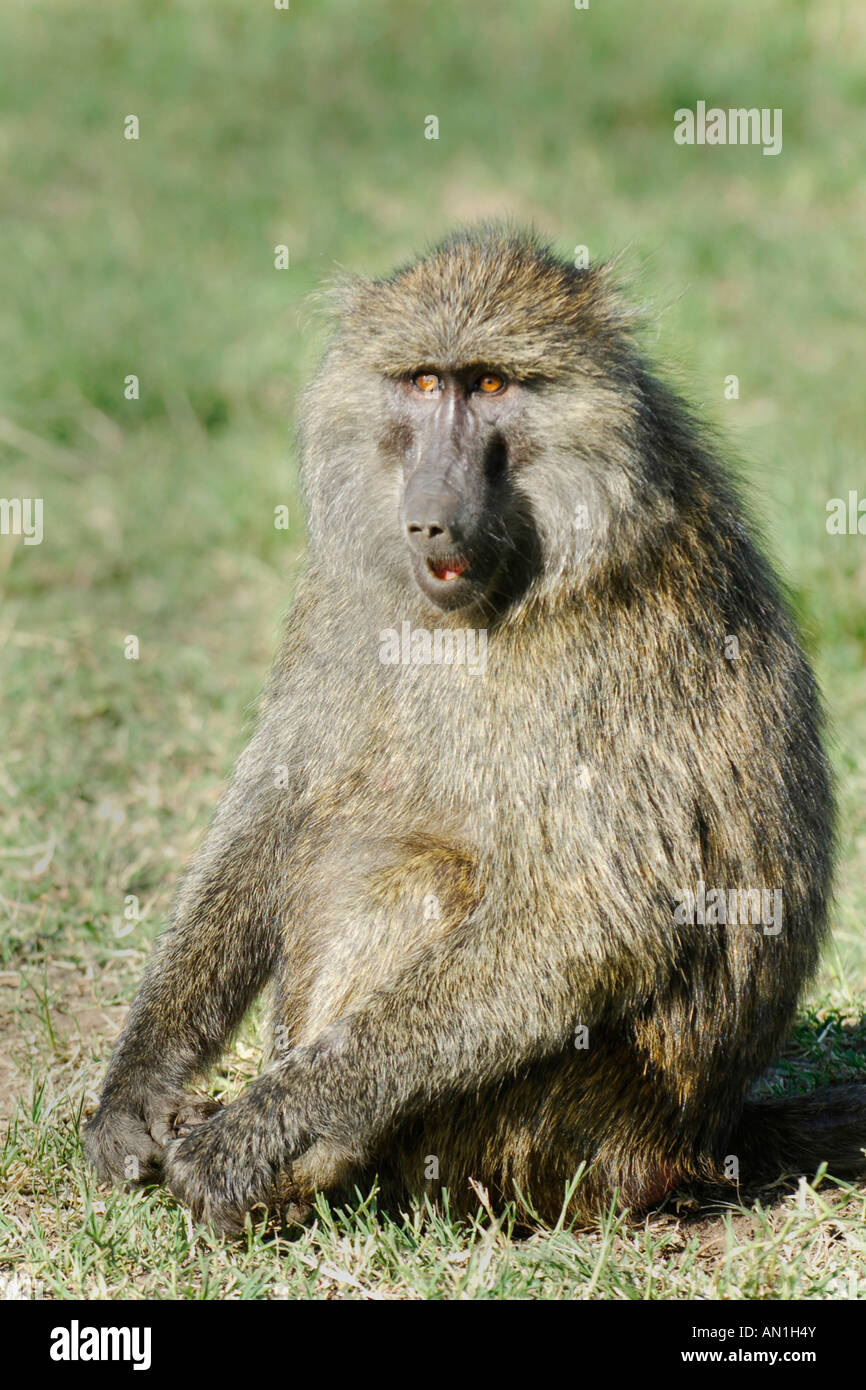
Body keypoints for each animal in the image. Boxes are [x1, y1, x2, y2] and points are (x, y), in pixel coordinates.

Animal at [85, 225, 865, 1236]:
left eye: (491, 384)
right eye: (424, 382)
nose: (430, 515)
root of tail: (702, 1136)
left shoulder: (613, 649)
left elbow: (597, 915)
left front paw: (258, 1134)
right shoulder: (344, 592)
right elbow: (279, 806)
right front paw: (136, 1091)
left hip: (565, 1132)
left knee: (405, 881)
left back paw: (310, 1173)